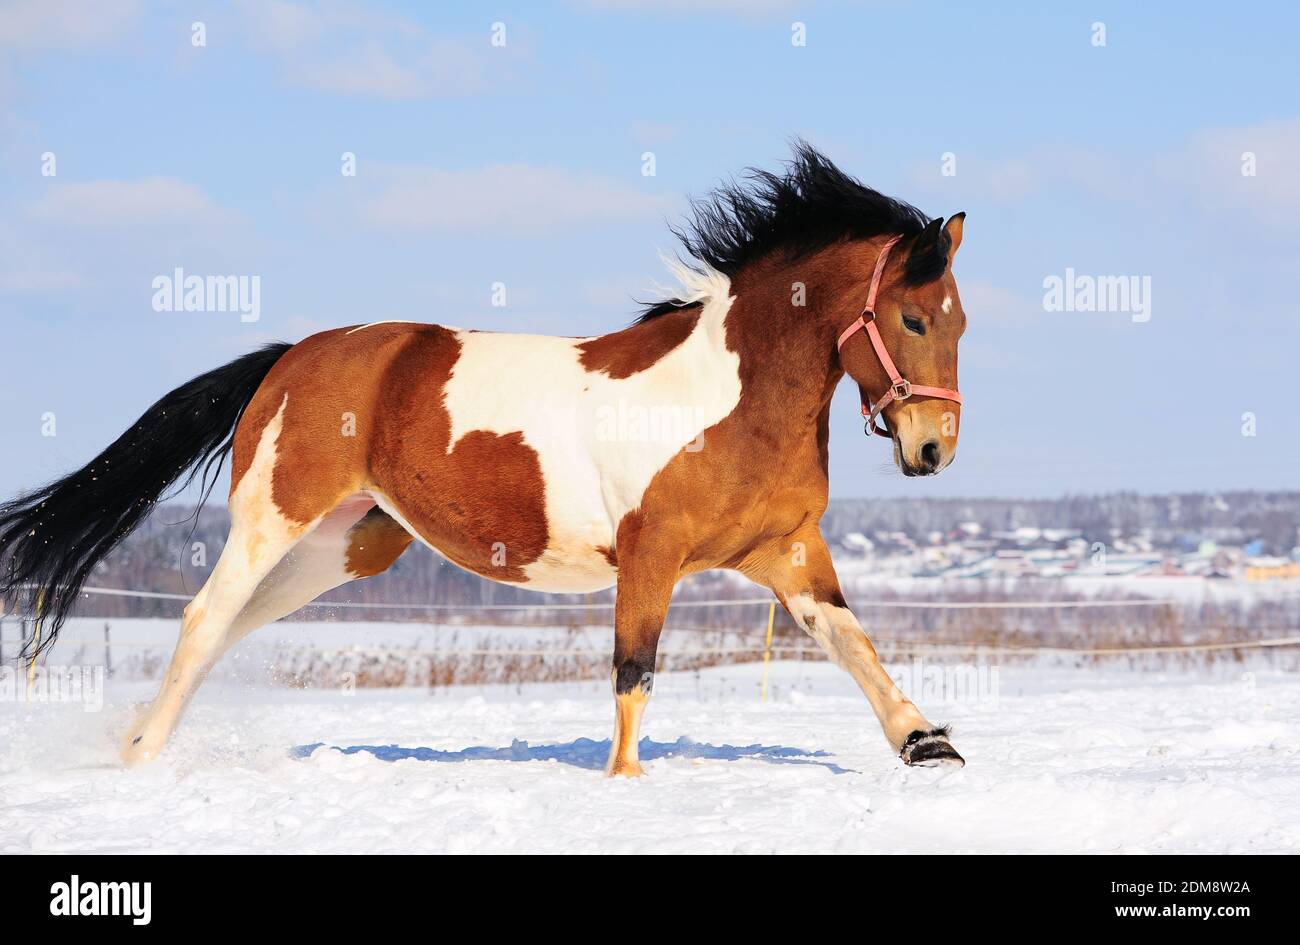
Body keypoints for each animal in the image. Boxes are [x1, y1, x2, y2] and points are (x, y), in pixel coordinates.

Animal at [0, 142, 968, 774]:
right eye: (912, 318)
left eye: (958, 322)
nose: (932, 448)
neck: (727, 397)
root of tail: (291, 357)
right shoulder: (650, 554)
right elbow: (634, 670)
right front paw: (626, 784)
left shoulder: (786, 550)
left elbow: (851, 638)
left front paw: (926, 741)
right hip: (274, 515)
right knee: (204, 618)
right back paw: (139, 757)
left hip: (346, 544)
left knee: (233, 624)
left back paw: (137, 737)